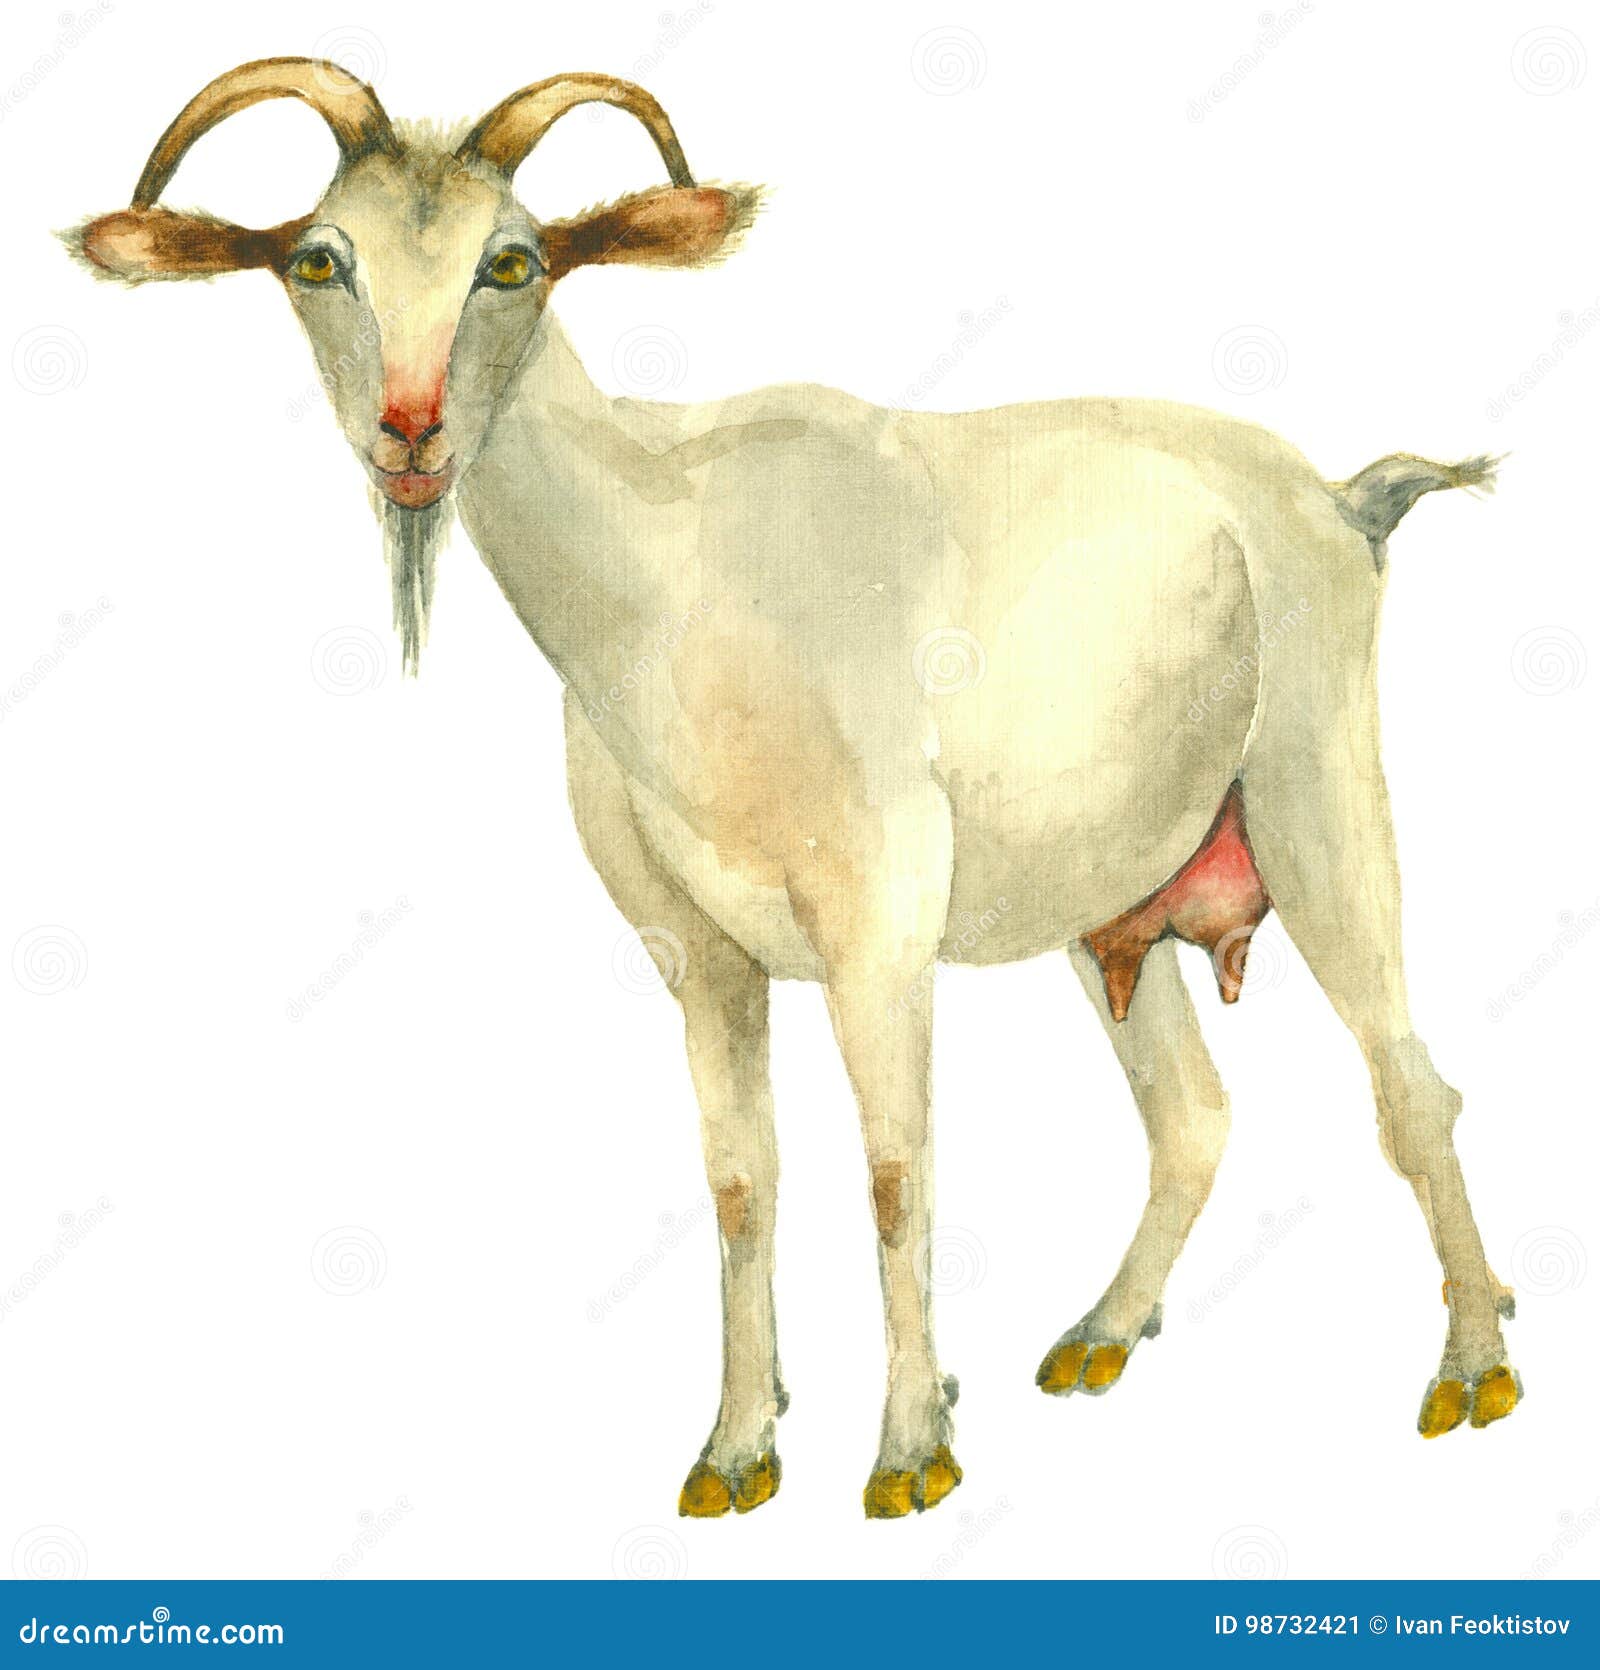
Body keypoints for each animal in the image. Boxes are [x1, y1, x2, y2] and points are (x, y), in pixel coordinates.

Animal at [73, 59, 1517, 1520]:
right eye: (320, 259)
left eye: (512, 261)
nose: (409, 434)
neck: (668, 575)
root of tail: (1341, 499)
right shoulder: (696, 949)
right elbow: (738, 1180)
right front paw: (734, 1449)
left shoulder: (878, 928)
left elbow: (894, 1170)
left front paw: (911, 1452)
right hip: (1111, 897)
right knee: (1192, 1111)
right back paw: (1101, 1335)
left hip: (1315, 785)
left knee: (1409, 1082)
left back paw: (1472, 1367)